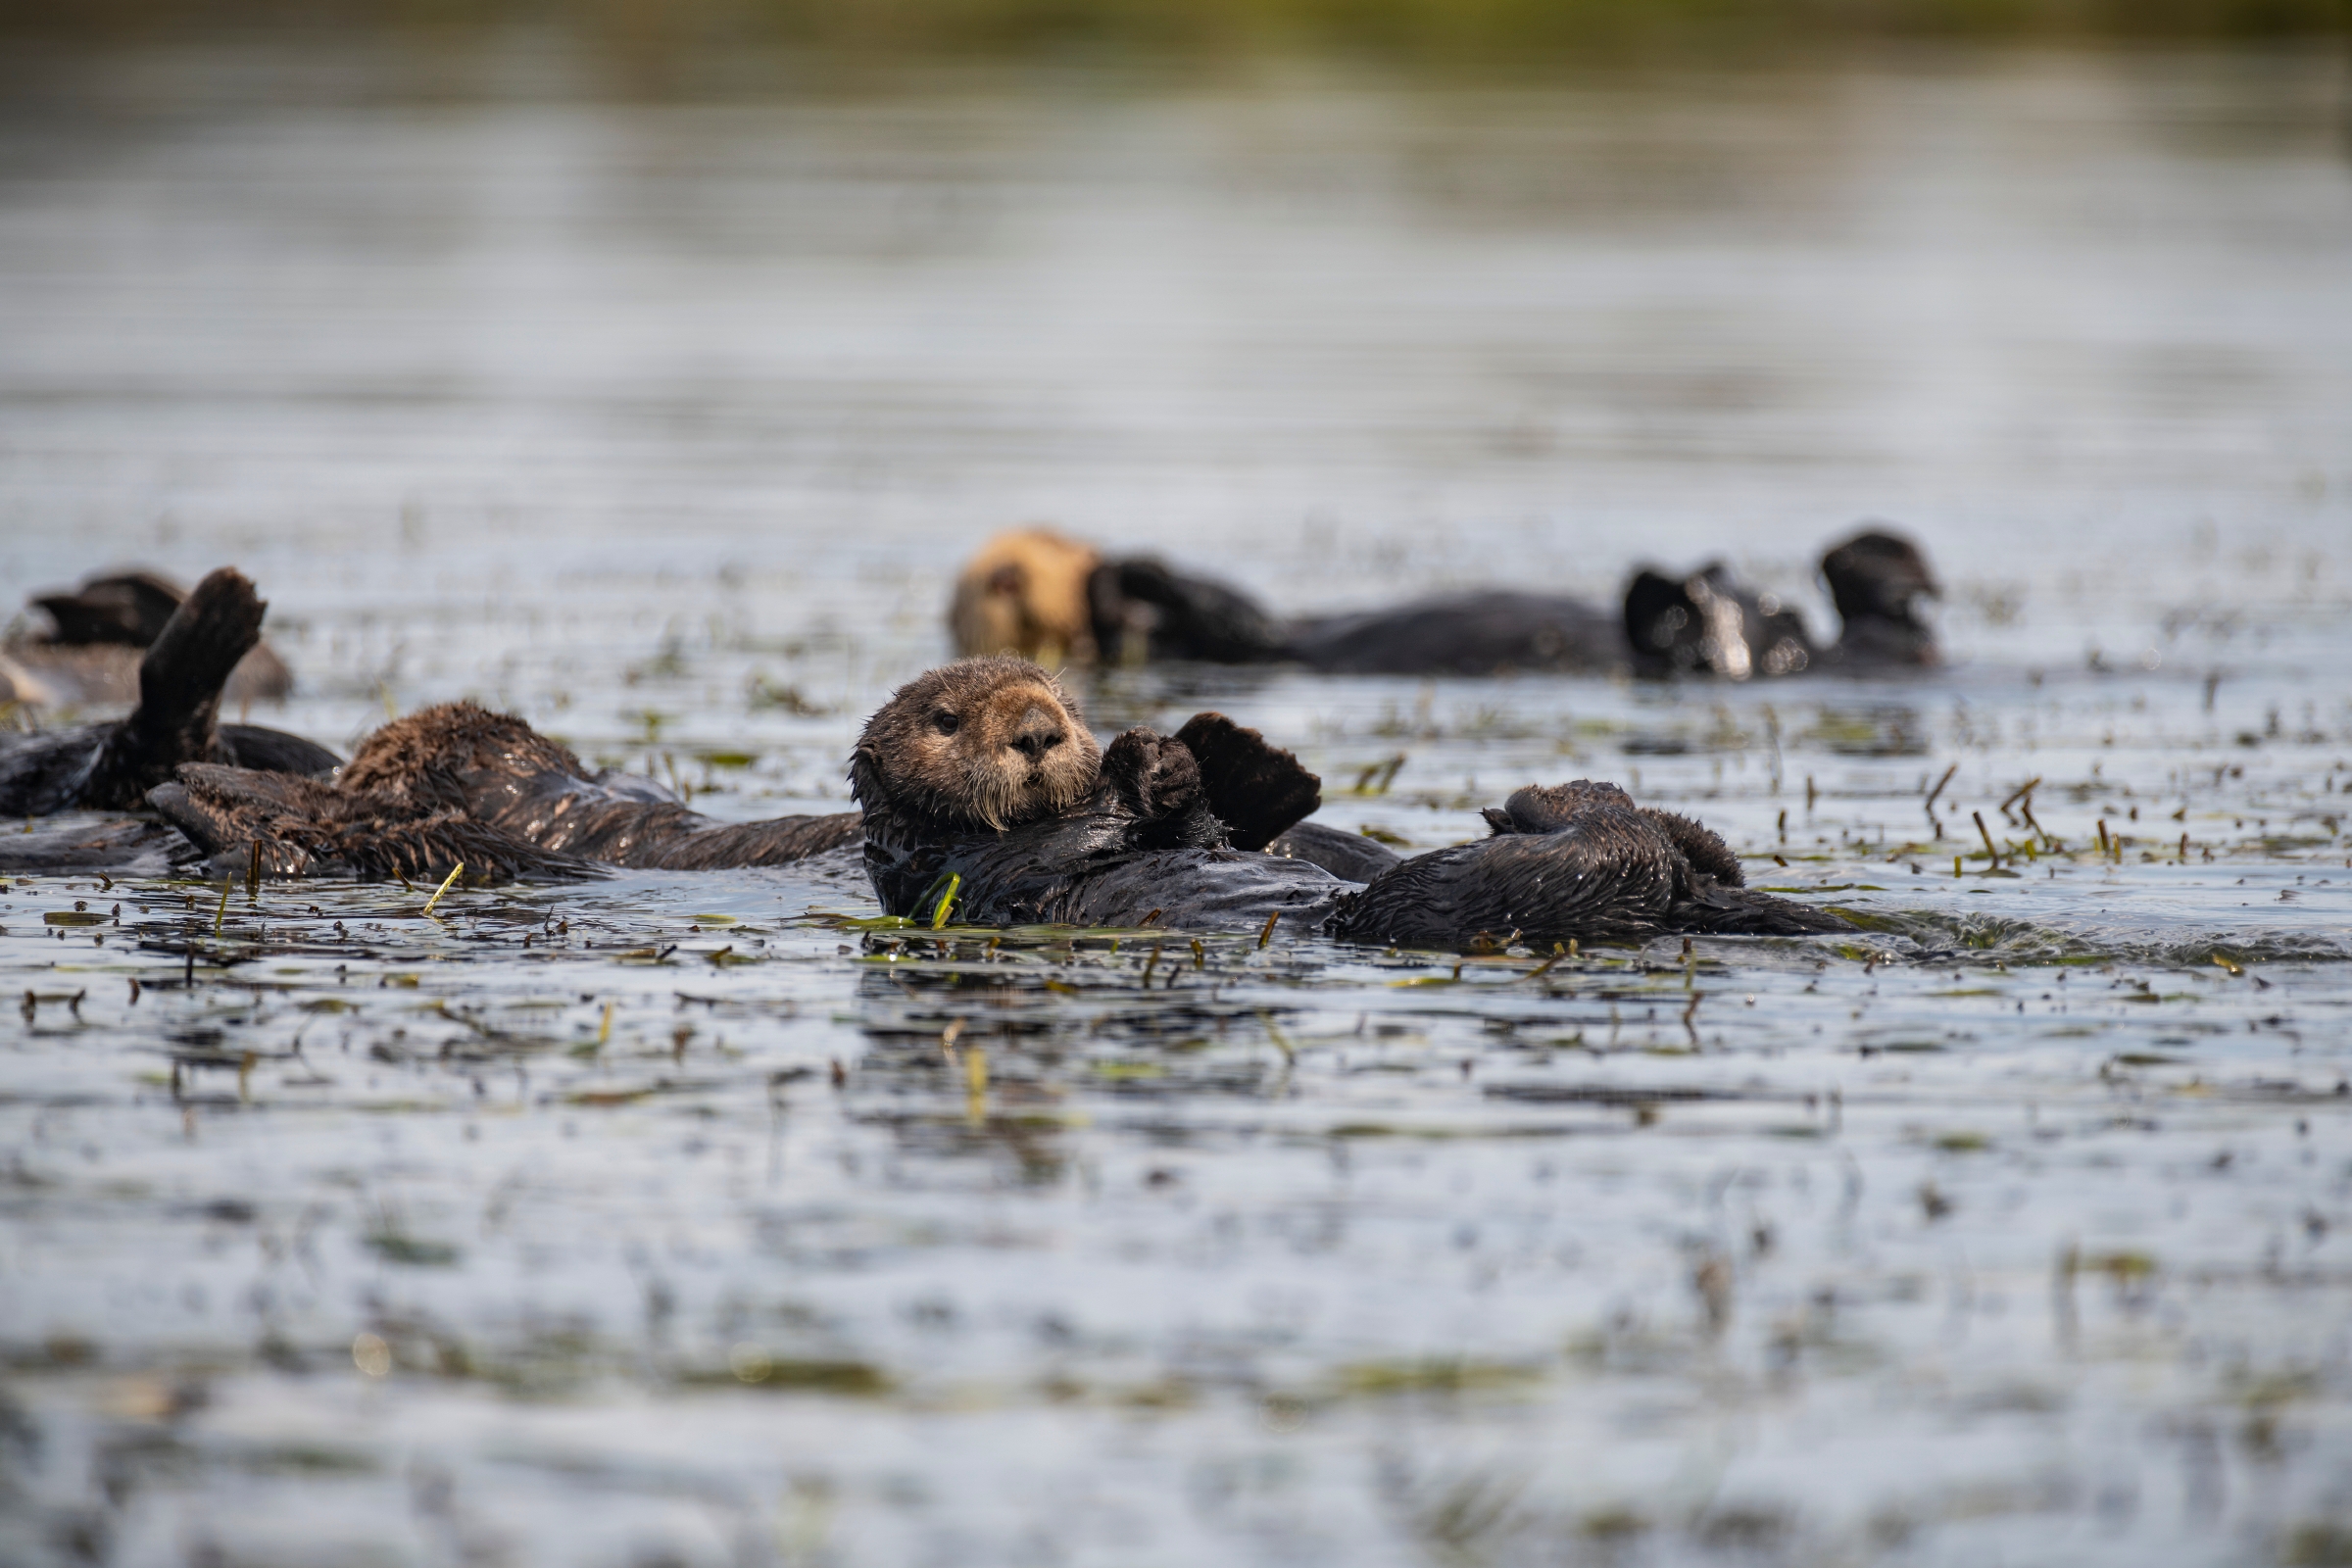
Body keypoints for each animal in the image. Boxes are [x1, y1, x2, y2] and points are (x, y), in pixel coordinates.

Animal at [853, 657, 1849, 949]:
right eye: (946, 720)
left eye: (1062, 699)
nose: (1036, 730)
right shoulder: (978, 867)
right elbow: (1092, 837)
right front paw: (1149, 767)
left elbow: (1194, 827)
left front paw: (1177, 759)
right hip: (1454, 900)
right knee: (1606, 838)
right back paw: (1531, 803)